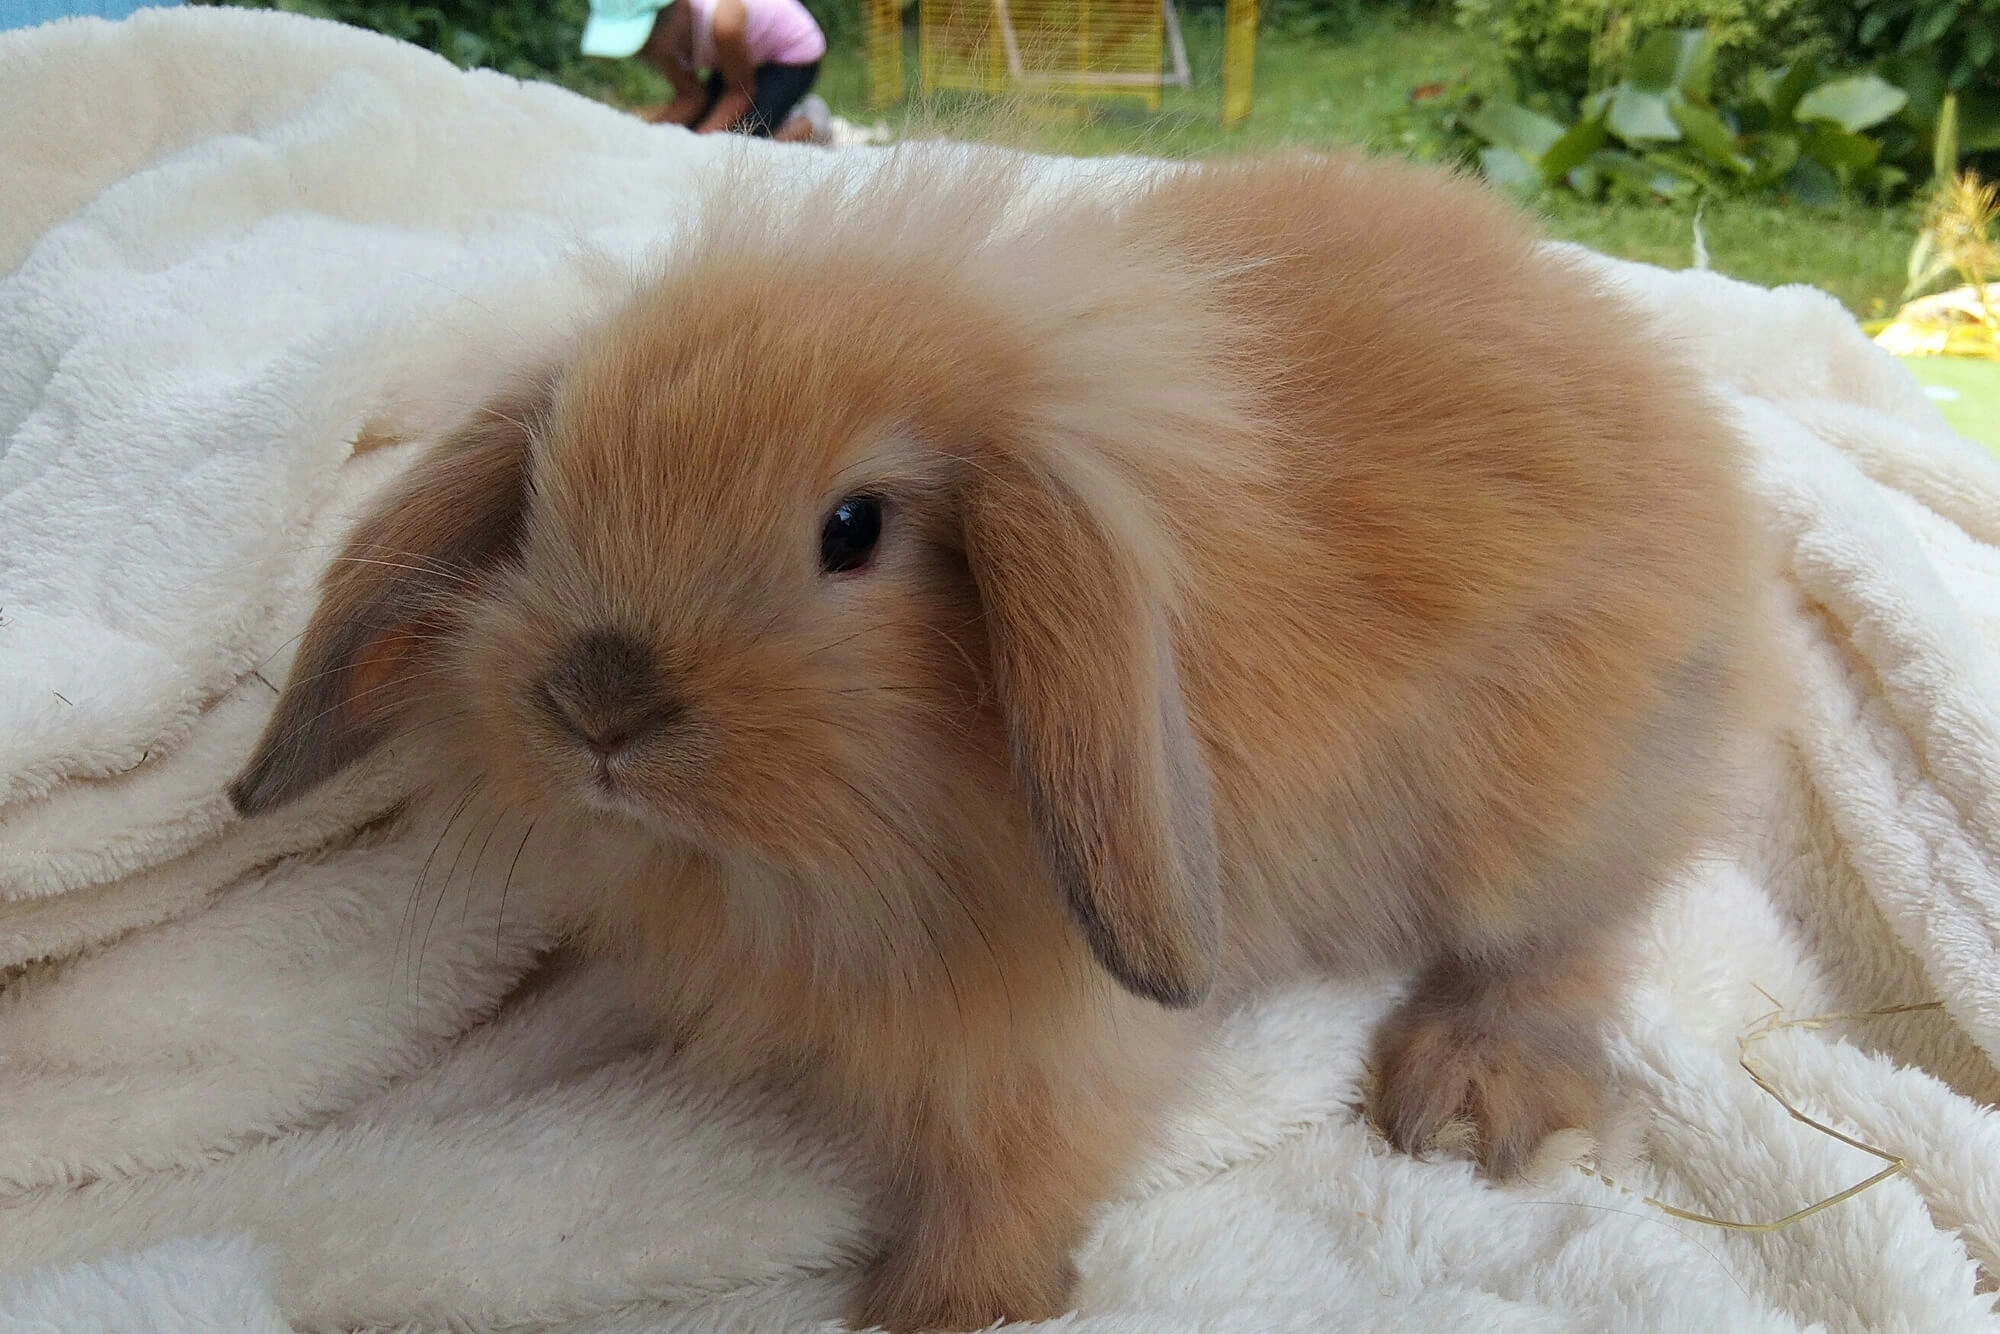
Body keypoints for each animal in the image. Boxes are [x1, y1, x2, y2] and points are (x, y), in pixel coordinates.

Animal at [228, 146, 1774, 1332]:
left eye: (854, 528)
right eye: (544, 491)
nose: (597, 703)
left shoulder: (1059, 1036)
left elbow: (1014, 1168)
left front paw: (937, 1306)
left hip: (1548, 803)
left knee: (1563, 937)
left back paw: (1468, 1099)